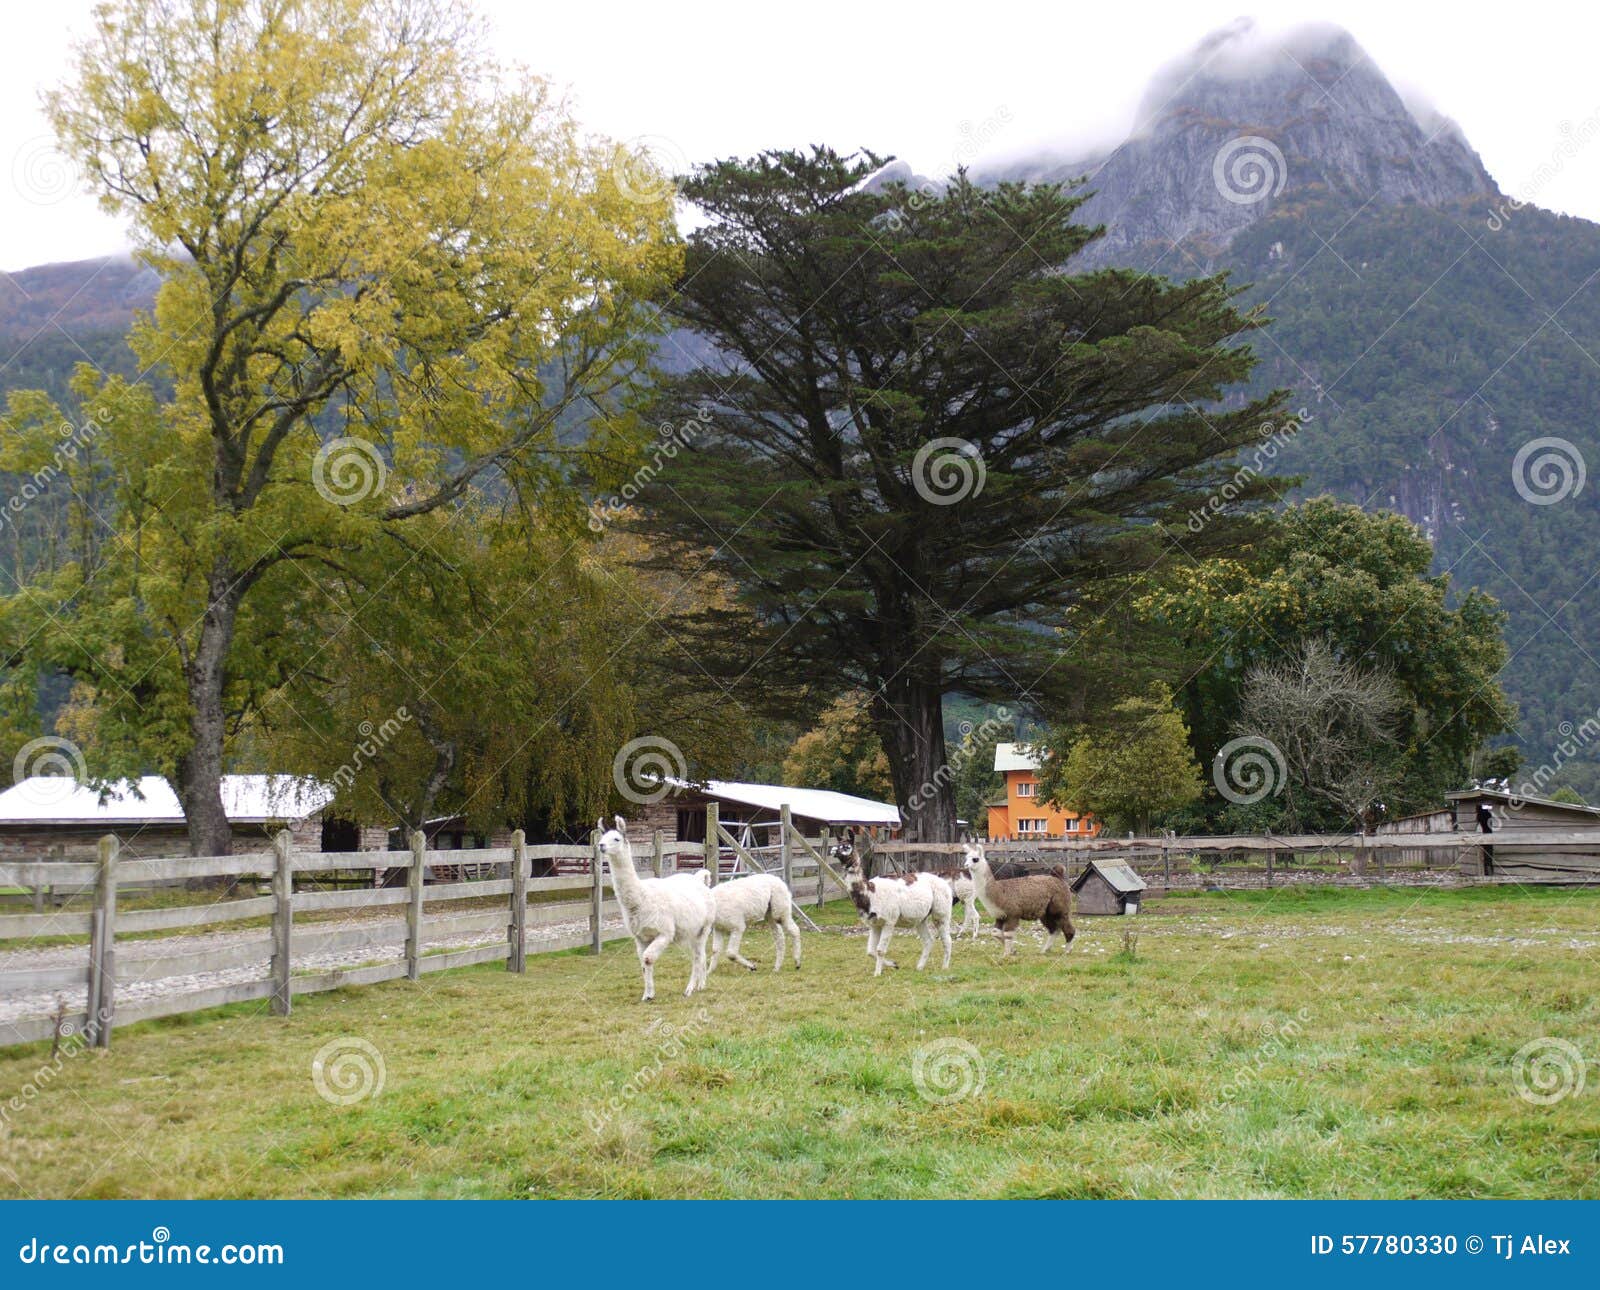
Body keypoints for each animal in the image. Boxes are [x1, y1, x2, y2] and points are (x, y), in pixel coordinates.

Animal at [597, 816, 716, 1001]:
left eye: (616, 839)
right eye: (602, 837)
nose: (601, 845)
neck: (641, 899)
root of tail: (699, 879)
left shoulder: (665, 932)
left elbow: (648, 959)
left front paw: (649, 994)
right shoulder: (640, 937)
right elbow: (643, 964)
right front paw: (647, 994)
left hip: (705, 926)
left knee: (697, 957)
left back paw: (689, 989)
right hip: (691, 930)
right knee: (701, 955)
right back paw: (700, 985)